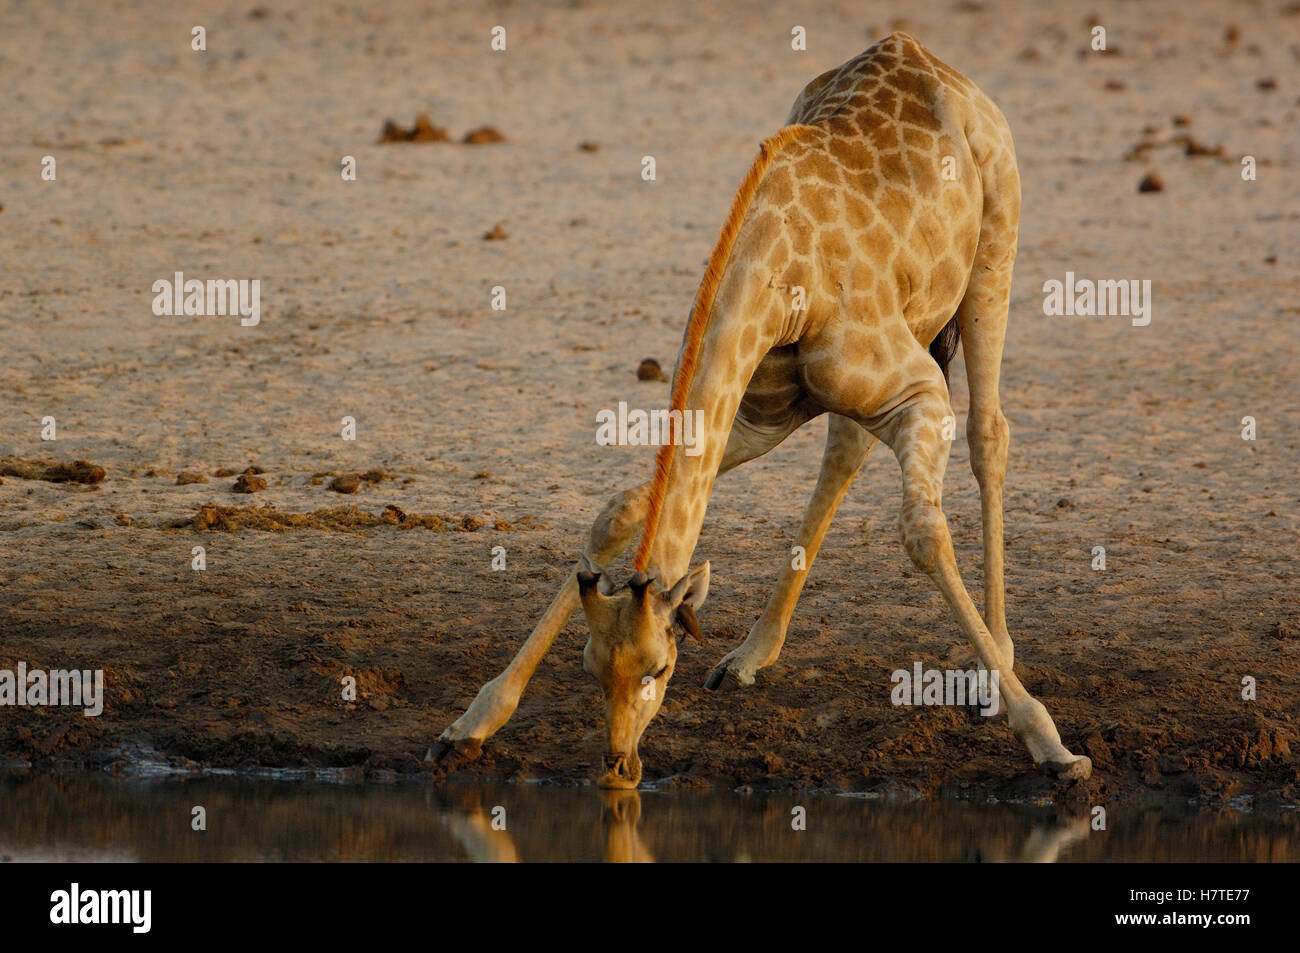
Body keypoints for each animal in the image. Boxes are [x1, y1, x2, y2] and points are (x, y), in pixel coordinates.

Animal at [429, 33, 1092, 789]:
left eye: (659, 668)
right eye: (593, 667)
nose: (620, 767)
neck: (778, 278)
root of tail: (922, 53)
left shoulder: (920, 392)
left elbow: (923, 534)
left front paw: (1052, 745)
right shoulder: (753, 414)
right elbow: (621, 509)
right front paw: (469, 726)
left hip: (996, 245)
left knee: (989, 433)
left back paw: (999, 660)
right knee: (845, 448)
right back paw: (750, 654)